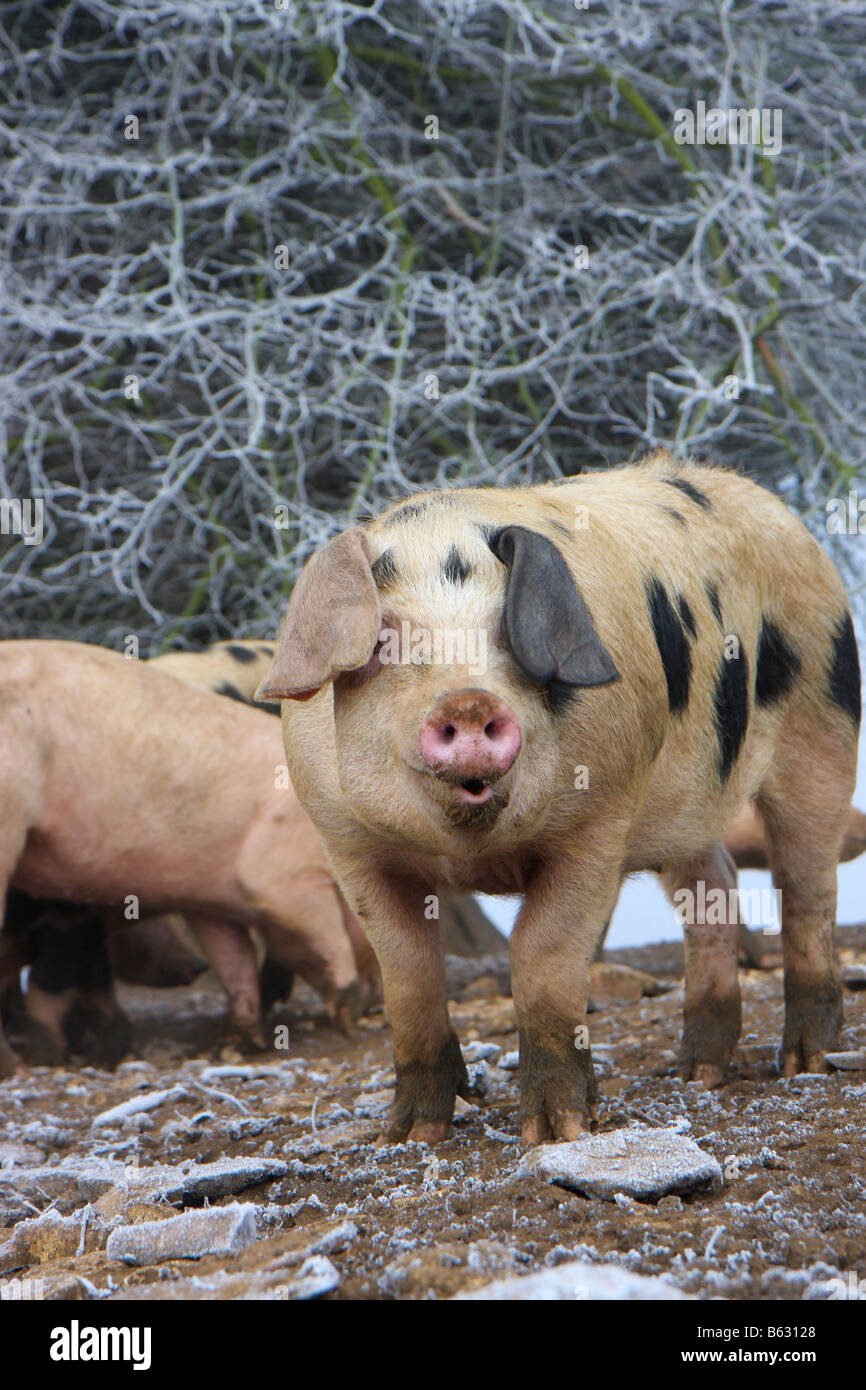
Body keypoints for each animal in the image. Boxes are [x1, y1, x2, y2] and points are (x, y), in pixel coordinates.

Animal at [258, 452, 861, 1143]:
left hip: (823, 720)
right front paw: (409, 1136)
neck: (469, 849)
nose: (469, 702)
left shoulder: (600, 821)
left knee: (806, 885)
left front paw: (558, 1133)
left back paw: (804, 1062)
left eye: (506, 632)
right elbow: (408, 976)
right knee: (714, 886)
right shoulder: (347, 846)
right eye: (385, 639)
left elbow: (541, 954)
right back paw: (696, 1074)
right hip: (688, 805)